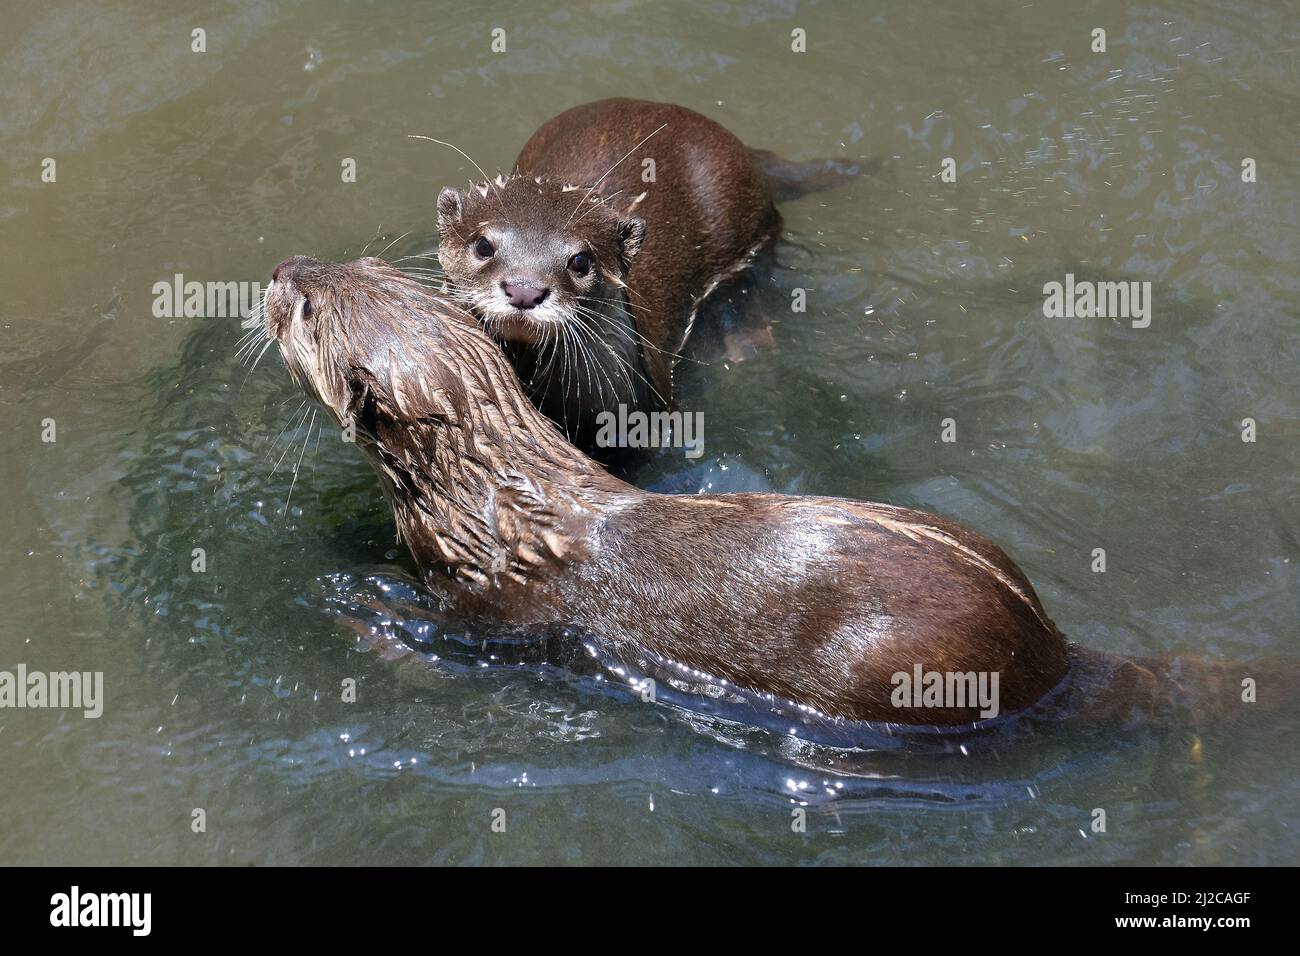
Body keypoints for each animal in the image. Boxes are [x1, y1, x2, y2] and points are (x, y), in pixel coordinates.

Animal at [263, 255, 1290, 728]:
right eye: (359, 265)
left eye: (308, 312)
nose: (278, 273)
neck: (495, 508)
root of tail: (1052, 647)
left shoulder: (495, 616)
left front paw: (358, 623)